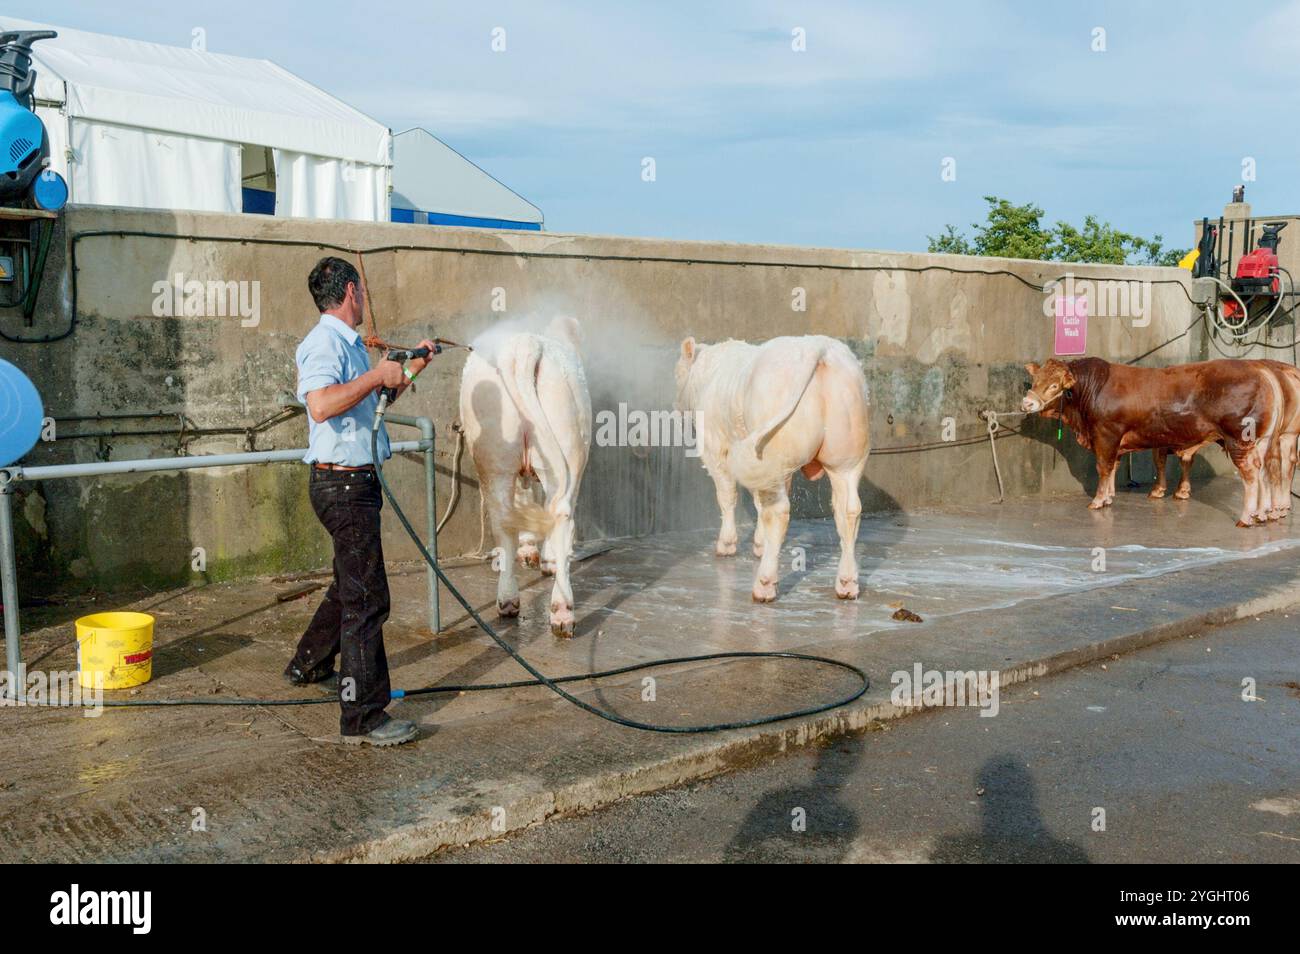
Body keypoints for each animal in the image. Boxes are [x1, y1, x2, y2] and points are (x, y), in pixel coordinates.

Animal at [459, 316, 592, 636]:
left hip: (495, 458)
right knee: (559, 513)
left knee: (505, 520)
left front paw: (531, 549)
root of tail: (523, 346)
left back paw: (510, 601)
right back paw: (561, 609)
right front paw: (544, 556)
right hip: (569, 452)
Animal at [674, 335, 871, 602]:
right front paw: (760, 543)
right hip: (846, 457)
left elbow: (727, 496)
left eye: (677, 374)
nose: (675, 407)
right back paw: (847, 583)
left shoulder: (715, 446)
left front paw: (727, 544)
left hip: (775, 454)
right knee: (848, 510)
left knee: (778, 511)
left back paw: (764, 584)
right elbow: (758, 502)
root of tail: (819, 348)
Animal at [1021, 357, 1282, 527]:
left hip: (1239, 440)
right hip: (1260, 442)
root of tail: (1258, 370)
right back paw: (1261, 514)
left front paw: (1097, 500)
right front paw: (1108, 497)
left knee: (1250, 475)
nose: (1026, 403)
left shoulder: (1105, 435)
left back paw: (1246, 518)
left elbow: (1103, 467)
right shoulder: (1115, 442)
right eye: (1035, 382)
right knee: (1262, 472)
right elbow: (1114, 466)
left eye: (1054, 385)